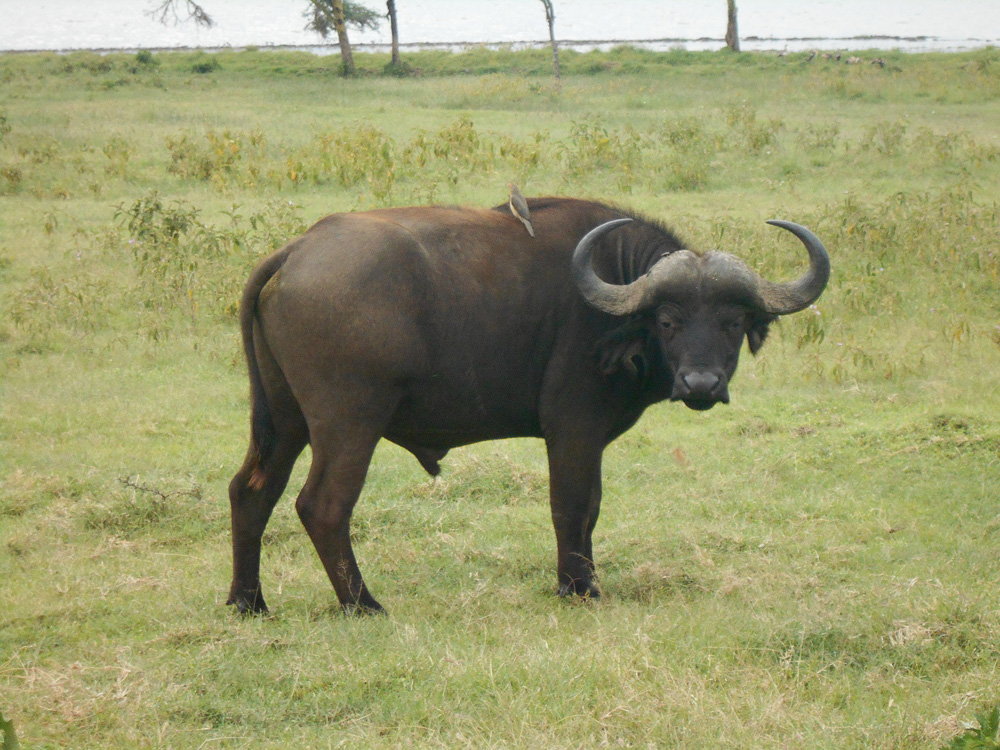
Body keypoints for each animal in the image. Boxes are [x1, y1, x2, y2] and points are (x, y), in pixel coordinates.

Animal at [227, 196, 829, 614]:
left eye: (733, 321)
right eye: (667, 320)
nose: (701, 383)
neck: (612, 297)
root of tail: (297, 250)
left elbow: (590, 507)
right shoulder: (573, 430)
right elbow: (572, 505)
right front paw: (578, 588)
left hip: (285, 420)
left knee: (251, 491)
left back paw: (248, 601)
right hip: (349, 422)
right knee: (323, 505)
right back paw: (362, 603)